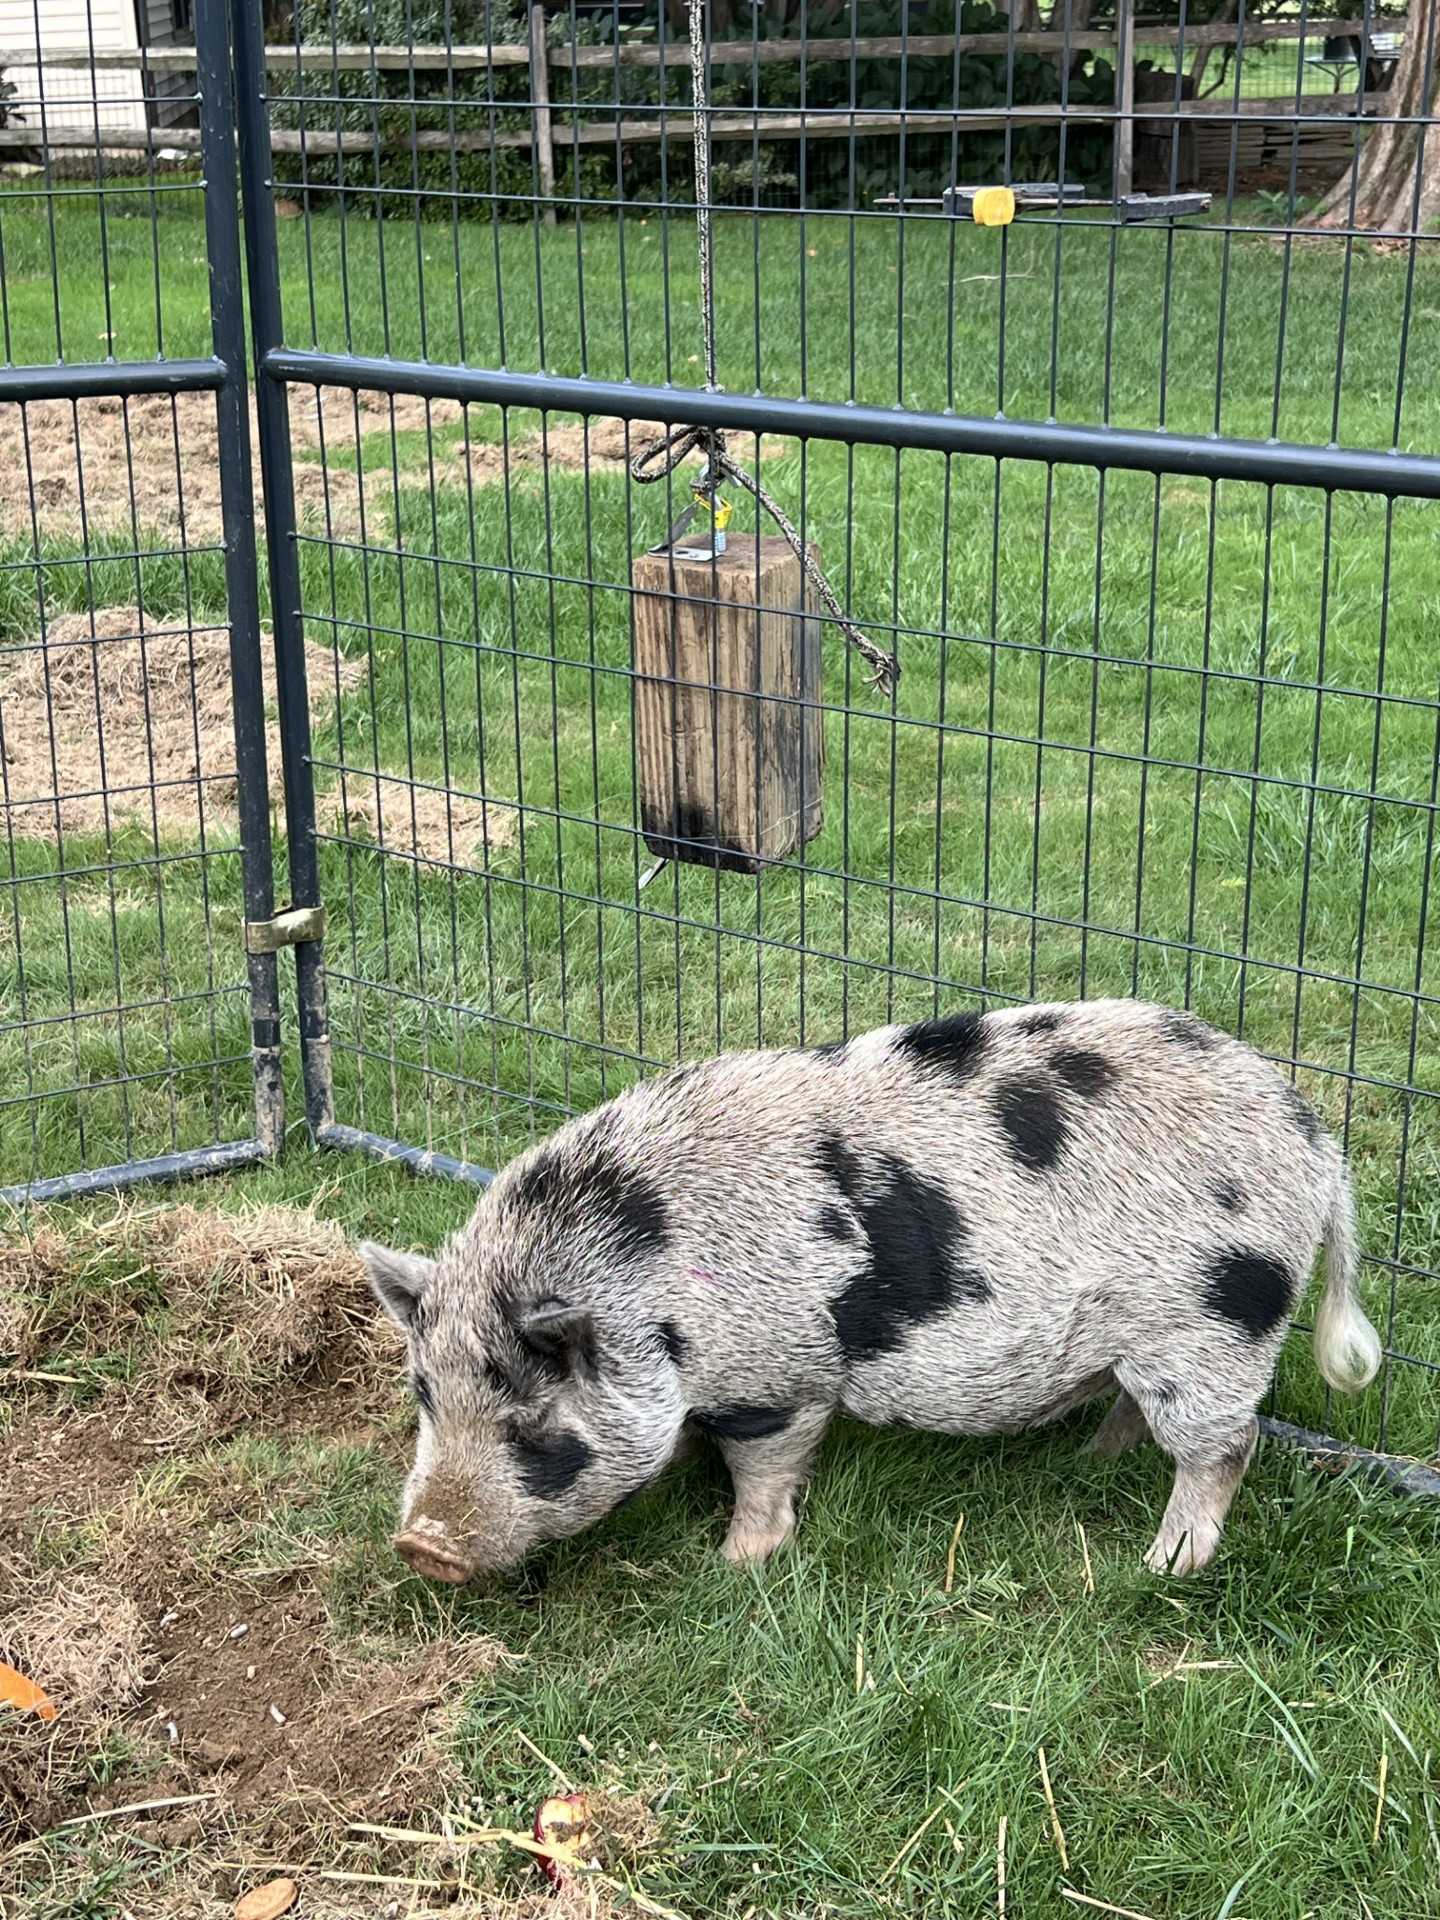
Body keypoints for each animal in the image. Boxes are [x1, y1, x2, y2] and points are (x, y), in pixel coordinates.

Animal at [361, 997, 1382, 1582]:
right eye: (425, 1400)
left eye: (532, 1426)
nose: (421, 1547)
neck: (654, 1291)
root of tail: (1316, 1145)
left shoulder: (778, 1378)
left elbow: (765, 1472)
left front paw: (735, 1564)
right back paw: (1093, 1462)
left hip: (1217, 1323)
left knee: (1228, 1444)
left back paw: (1166, 1564)